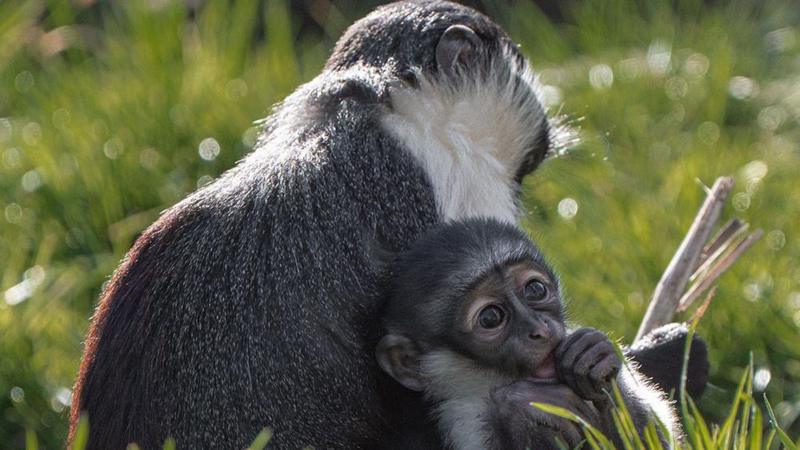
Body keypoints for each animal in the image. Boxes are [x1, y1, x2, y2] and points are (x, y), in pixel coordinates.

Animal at [376, 218, 680, 450]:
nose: (540, 330)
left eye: (535, 289)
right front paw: (519, 407)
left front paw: (593, 355)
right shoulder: (463, 419)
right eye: (490, 317)